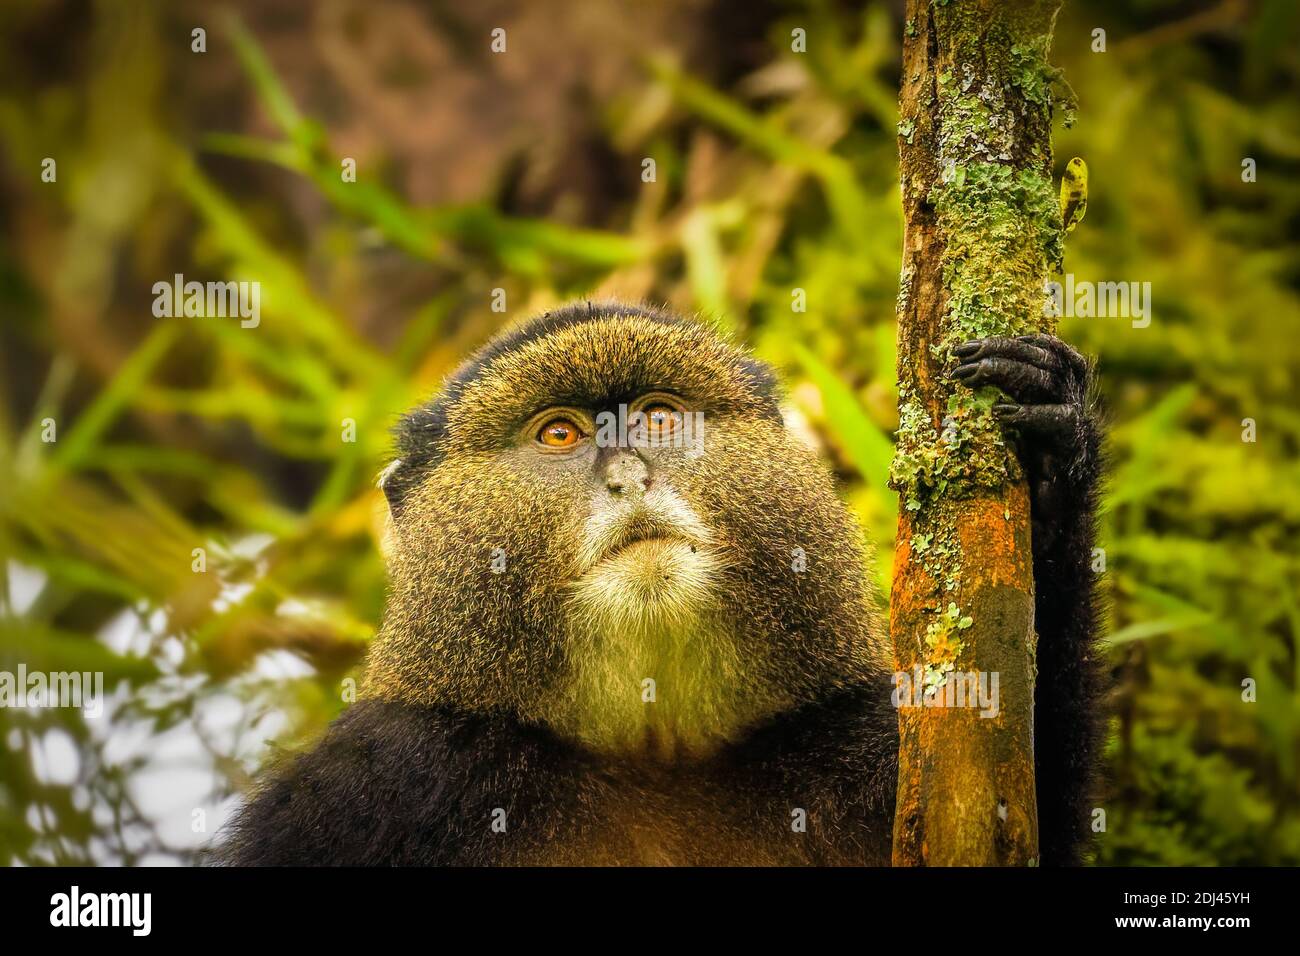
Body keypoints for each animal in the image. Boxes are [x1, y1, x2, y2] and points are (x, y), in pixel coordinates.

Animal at [216, 300, 1104, 866]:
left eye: (660, 418)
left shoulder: (868, 742)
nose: (629, 477)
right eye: (561, 434)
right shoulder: (369, 785)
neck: (652, 750)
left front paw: (1052, 449)